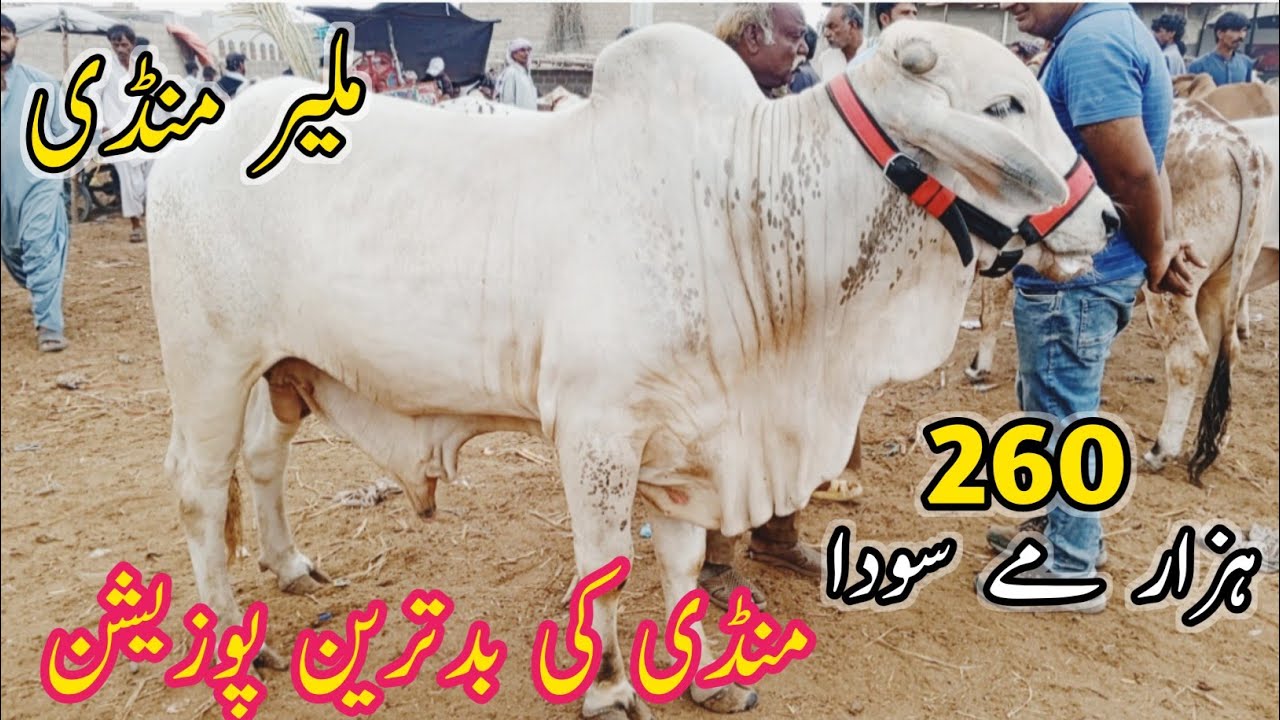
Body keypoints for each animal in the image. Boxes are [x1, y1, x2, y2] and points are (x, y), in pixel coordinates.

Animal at [147, 22, 1113, 718]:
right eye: (1003, 105)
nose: (1104, 218)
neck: (736, 213)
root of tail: (192, 140)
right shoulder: (596, 431)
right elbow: (606, 561)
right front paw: (609, 686)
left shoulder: (696, 436)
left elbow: (682, 568)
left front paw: (703, 674)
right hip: (207, 366)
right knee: (197, 492)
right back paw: (233, 644)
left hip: (283, 368)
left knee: (261, 464)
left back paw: (290, 566)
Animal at [966, 102, 1278, 486]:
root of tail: (1243, 148)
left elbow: (990, 309)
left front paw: (979, 366)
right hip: (1221, 285)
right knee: (1225, 352)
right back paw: (1210, 441)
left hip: (1172, 291)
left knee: (1190, 355)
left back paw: (1162, 448)